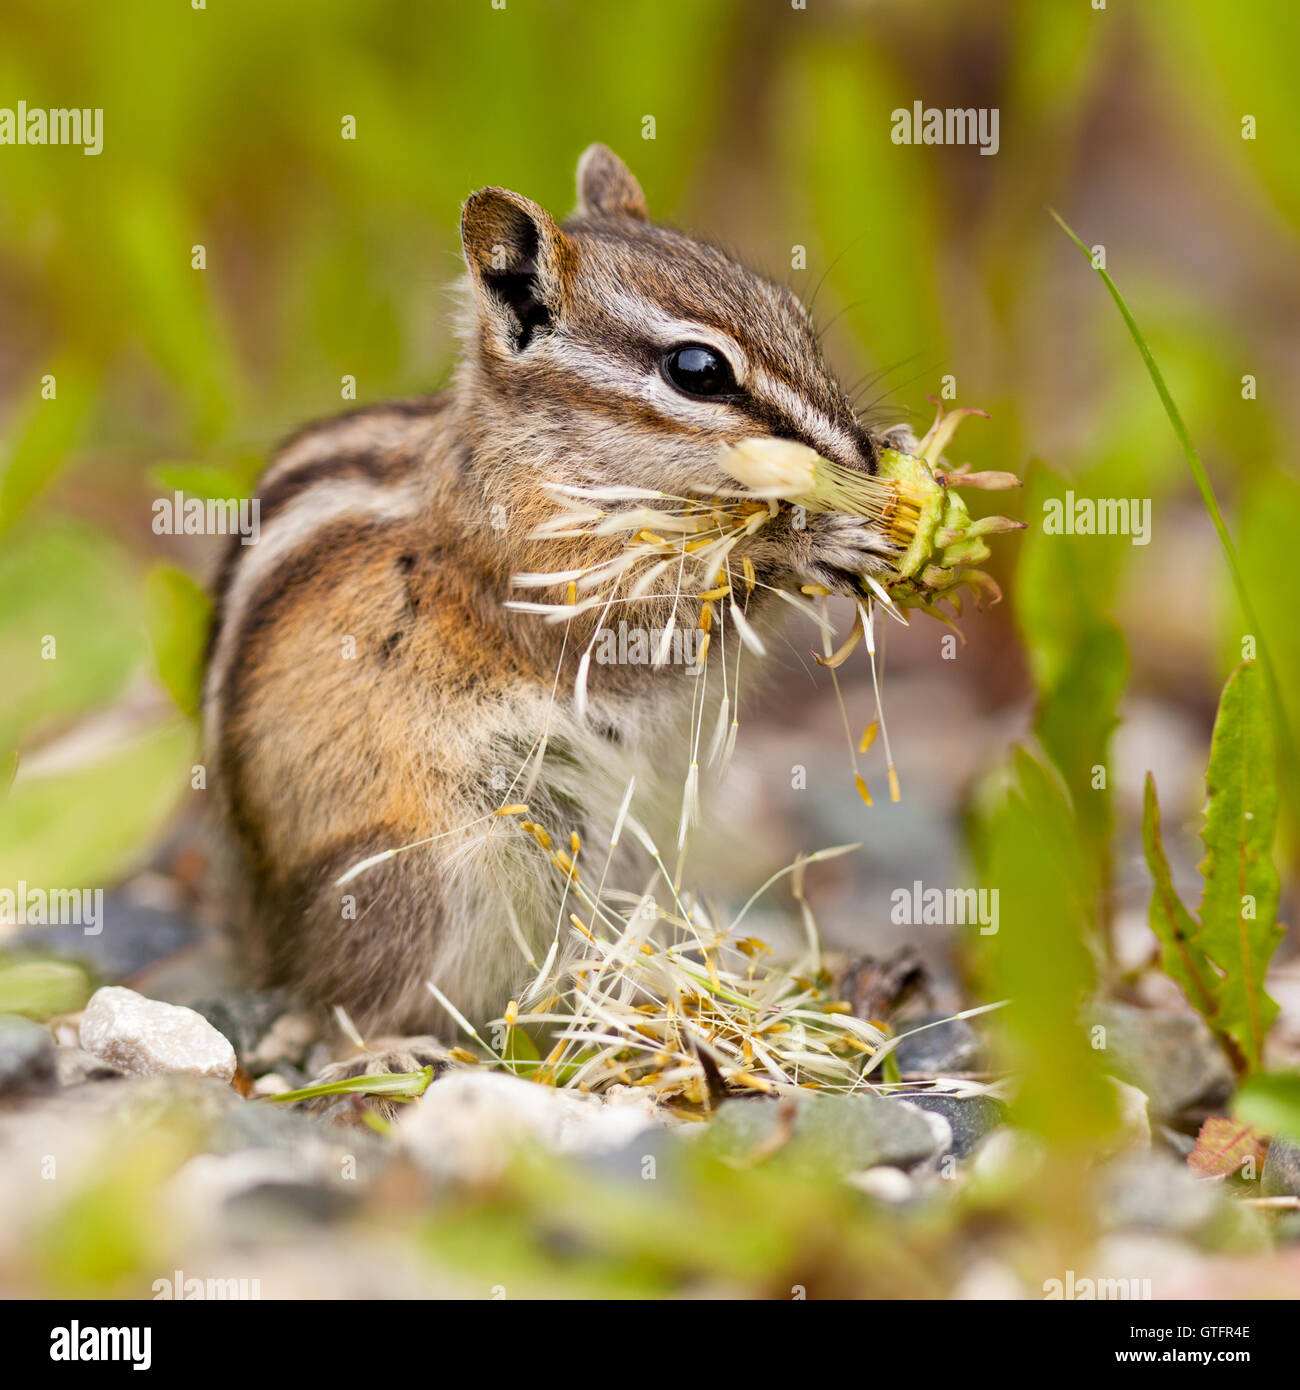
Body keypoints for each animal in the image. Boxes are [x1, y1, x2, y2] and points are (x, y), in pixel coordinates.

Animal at [203, 145, 905, 1066]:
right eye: (698, 370)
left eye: (794, 314)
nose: (859, 455)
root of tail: (263, 939)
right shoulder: (543, 577)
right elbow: (651, 624)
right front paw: (810, 542)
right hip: (423, 874)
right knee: (337, 1004)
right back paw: (385, 1049)